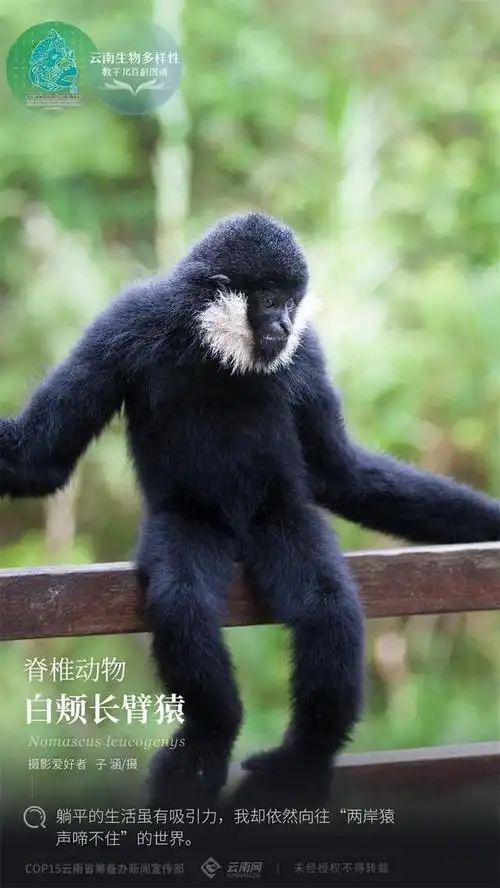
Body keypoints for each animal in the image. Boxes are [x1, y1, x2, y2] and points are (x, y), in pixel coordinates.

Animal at [1, 211, 499, 809]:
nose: (284, 320)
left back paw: (302, 759)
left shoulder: (306, 352)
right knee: (184, 599)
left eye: (292, 301)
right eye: (269, 299)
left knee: (326, 606)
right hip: (189, 522)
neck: (210, 345)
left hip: (279, 516)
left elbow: (342, 474)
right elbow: (39, 458)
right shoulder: (123, 325)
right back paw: (210, 739)